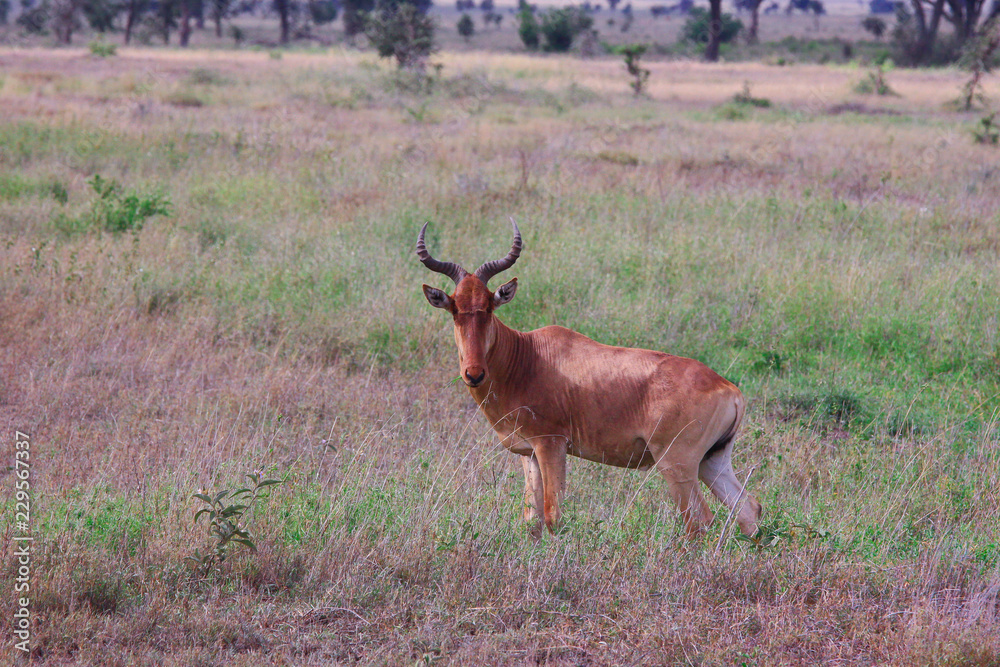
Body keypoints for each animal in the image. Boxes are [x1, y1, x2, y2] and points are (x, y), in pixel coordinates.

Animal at [417, 221, 762, 539]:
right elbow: (531, 521)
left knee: (699, 521)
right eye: (454, 309)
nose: (474, 374)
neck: (528, 357)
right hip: (712, 460)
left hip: (676, 463)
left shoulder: (552, 443)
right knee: (748, 509)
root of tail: (730, 390)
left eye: (488, 307)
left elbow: (553, 515)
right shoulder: (529, 453)